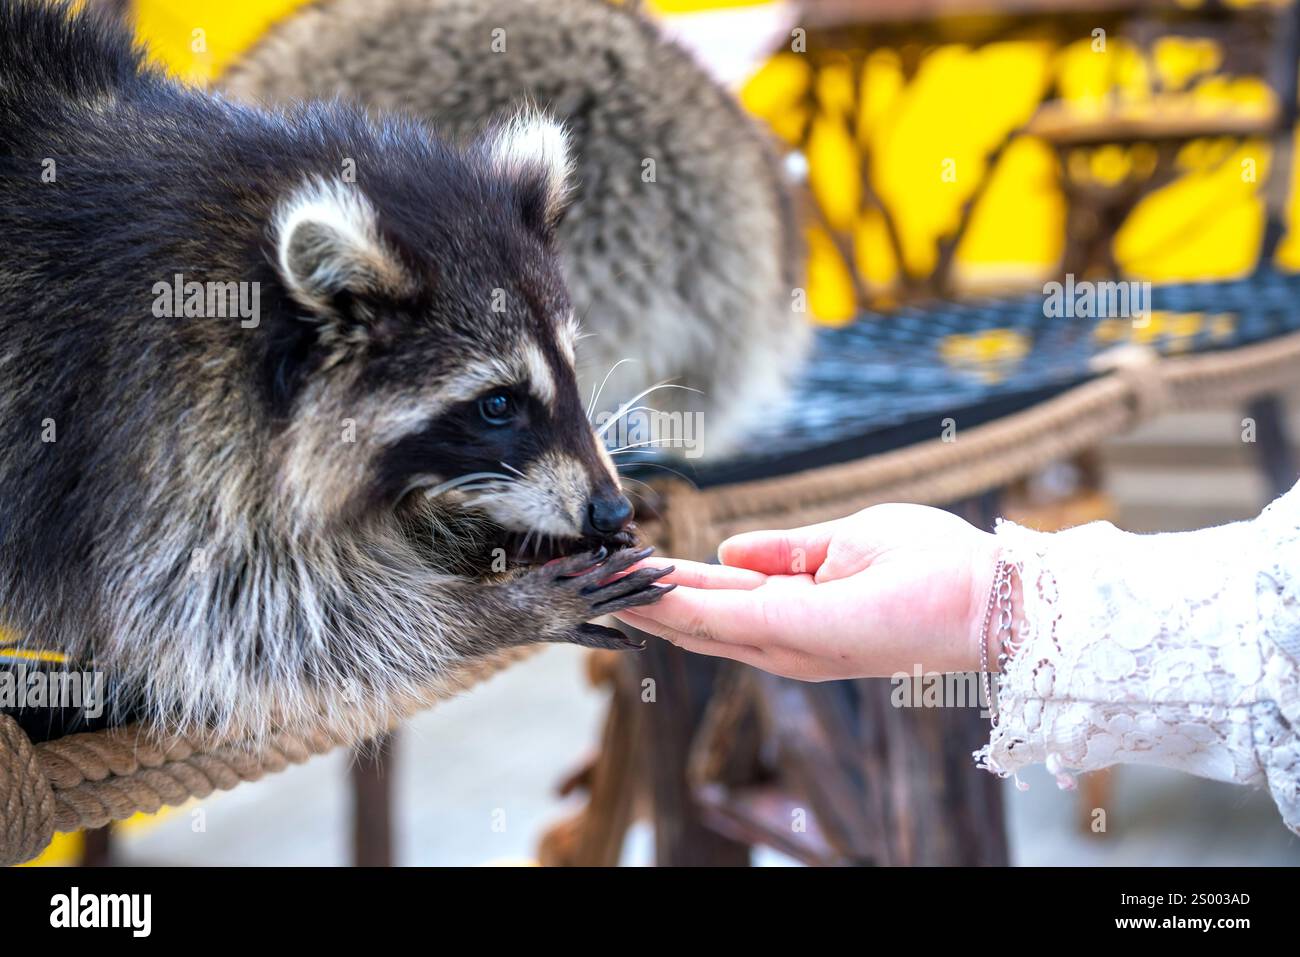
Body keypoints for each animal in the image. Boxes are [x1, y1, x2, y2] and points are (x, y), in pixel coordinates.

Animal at [0, 0, 673, 743]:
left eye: (570, 369)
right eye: (497, 404)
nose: (609, 506)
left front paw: (495, 531)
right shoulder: (146, 414)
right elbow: (245, 617)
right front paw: (487, 614)